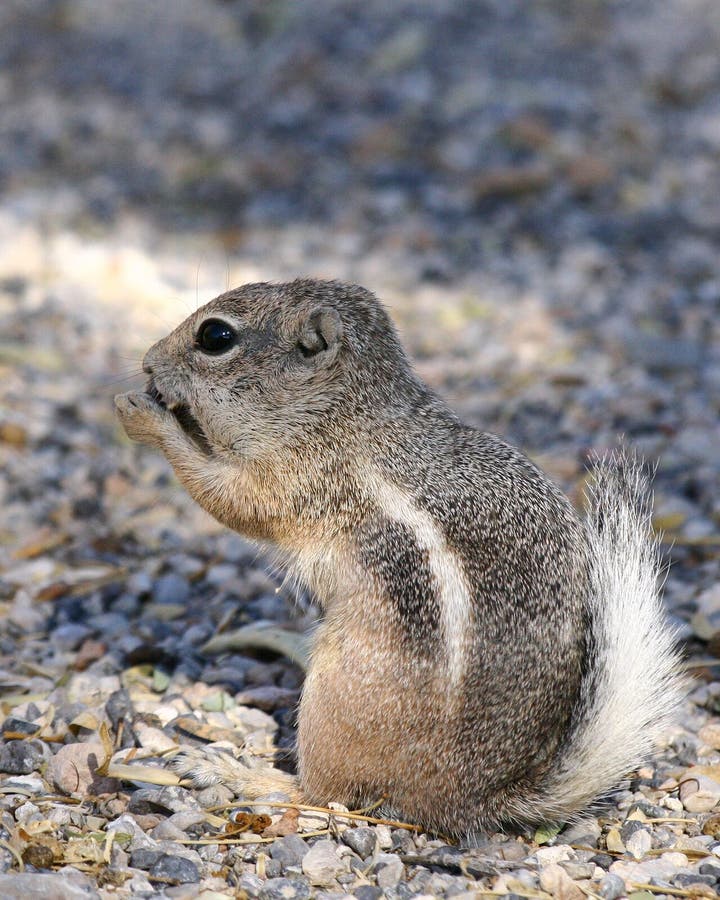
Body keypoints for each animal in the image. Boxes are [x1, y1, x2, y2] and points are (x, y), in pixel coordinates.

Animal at [115, 278, 682, 836]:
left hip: (334, 699)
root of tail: (474, 802)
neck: (333, 408)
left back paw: (234, 771)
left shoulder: (300, 476)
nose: (147, 361)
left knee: (323, 795)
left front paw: (143, 416)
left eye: (216, 336)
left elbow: (231, 499)